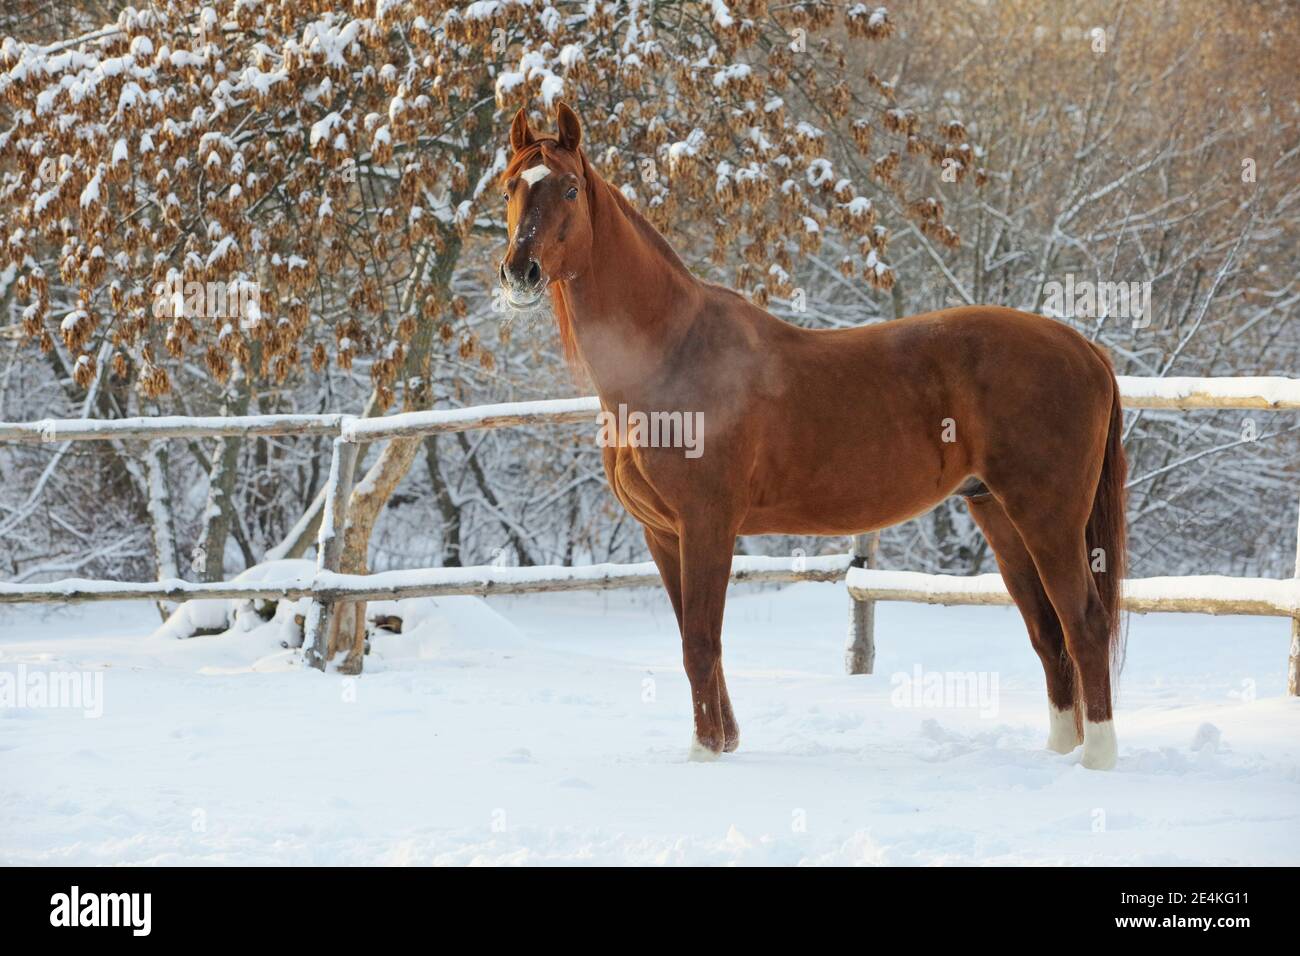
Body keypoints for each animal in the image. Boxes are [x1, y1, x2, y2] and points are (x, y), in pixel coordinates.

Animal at [497, 103, 1128, 770]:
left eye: (569, 188)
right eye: (509, 187)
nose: (520, 272)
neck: (673, 351)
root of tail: (1082, 347)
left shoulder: (706, 523)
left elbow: (701, 642)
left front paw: (706, 758)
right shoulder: (662, 533)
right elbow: (697, 642)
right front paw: (724, 744)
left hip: (1047, 516)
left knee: (1083, 623)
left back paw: (1097, 760)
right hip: (997, 513)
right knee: (1047, 630)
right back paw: (1059, 751)